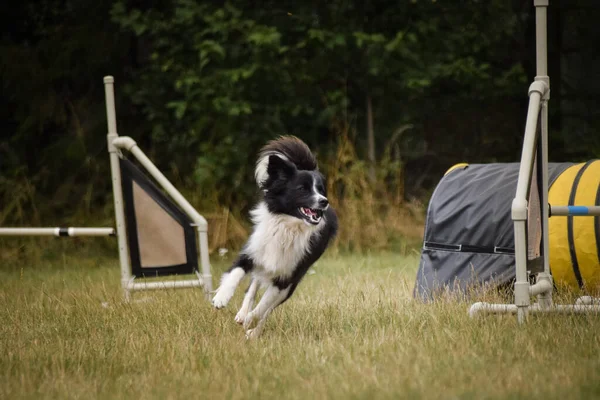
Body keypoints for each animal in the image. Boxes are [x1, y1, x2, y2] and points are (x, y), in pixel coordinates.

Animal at [212, 136, 338, 340]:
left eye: (321, 190)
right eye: (302, 189)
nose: (324, 201)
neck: (288, 225)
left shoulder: (287, 277)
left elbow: (264, 306)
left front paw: (250, 322)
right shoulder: (253, 251)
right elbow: (235, 272)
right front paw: (221, 298)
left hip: (292, 282)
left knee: (268, 307)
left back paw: (252, 330)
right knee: (253, 285)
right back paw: (242, 314)